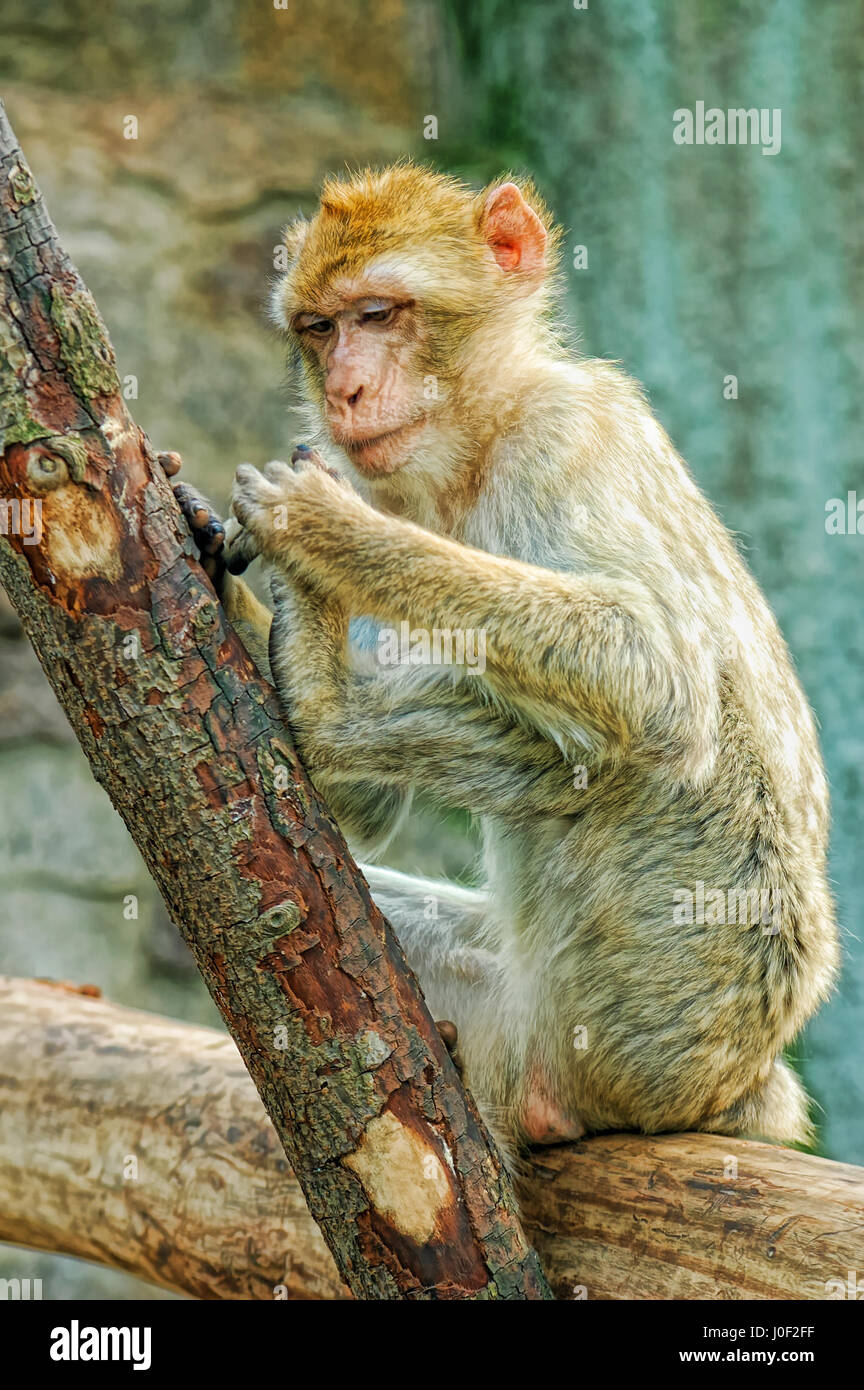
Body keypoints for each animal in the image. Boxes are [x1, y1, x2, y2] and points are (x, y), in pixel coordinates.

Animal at [167, 163, 838, 1156]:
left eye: (380, 313)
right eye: (320, 329)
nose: (345, 391)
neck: (480, 434)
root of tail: (737, 1088)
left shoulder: (560, 435)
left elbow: (657, 676)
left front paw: (321, 532)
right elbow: (365, 806)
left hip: (613, 1028)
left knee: (617, 757)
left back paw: (326, 713)